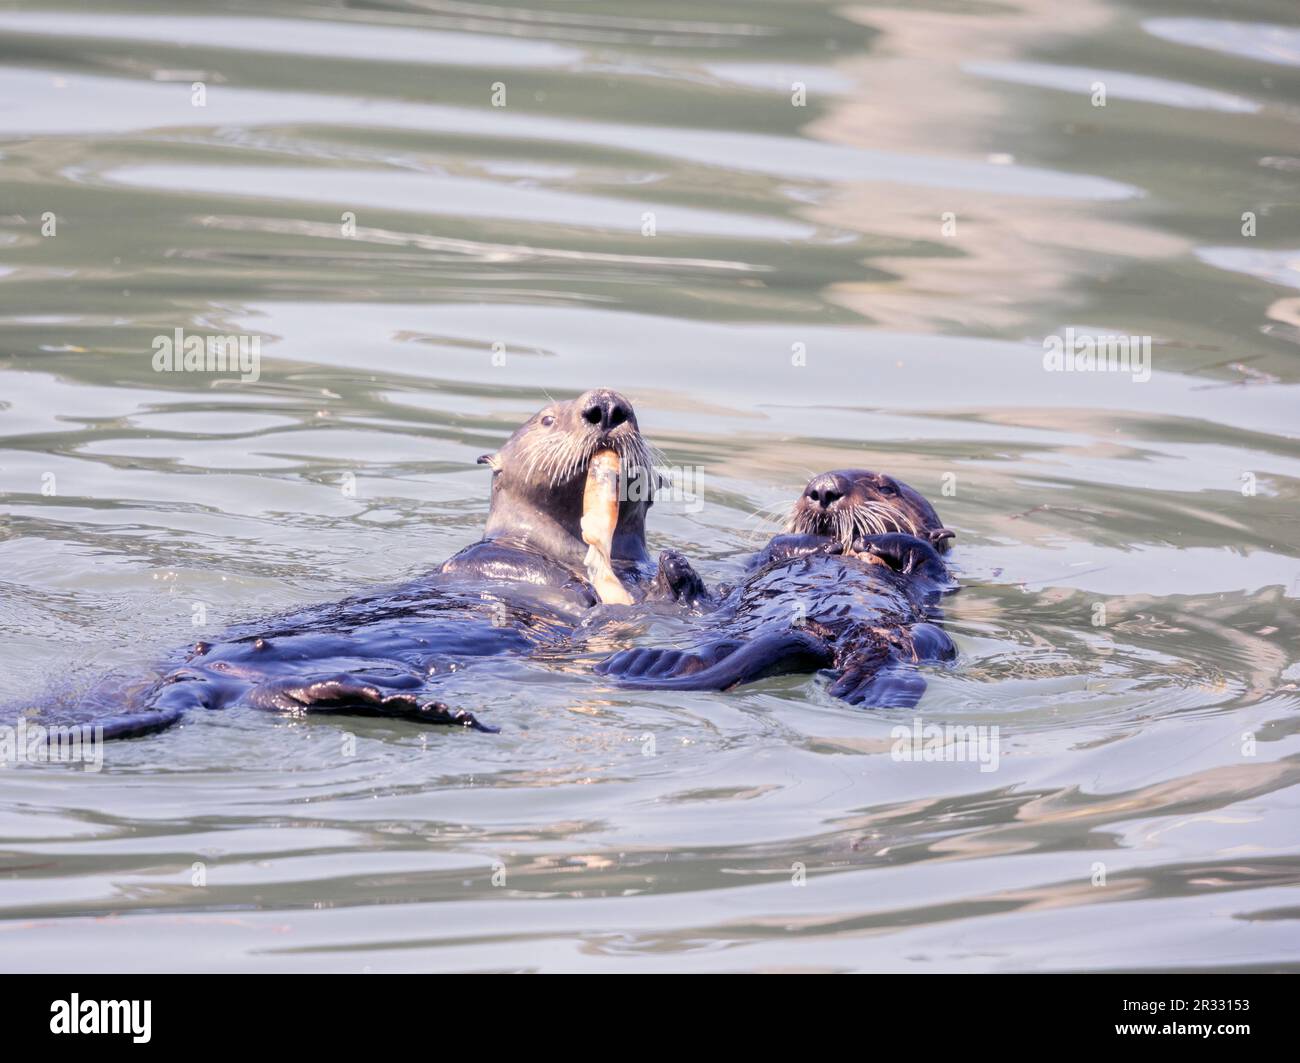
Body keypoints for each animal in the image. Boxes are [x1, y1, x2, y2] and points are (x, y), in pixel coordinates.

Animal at [29, 389, 701, 741]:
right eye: (546, 417)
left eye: (629, 409)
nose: (606, 406)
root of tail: (177, 680)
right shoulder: (506, 564)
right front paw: (665, 572)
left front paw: (675, 568)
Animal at [594, 469, 957, 708]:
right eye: (811, 486)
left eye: (887, 488)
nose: (823, 489)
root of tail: (818, 635)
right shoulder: (759, 560)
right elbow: (775, 547)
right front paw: (819, 543)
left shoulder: (936, 580)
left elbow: (925, 557)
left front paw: (871, 540)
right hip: (733, 635)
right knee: (711, 653)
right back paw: (649, 657)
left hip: (916, 638)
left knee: (910, 653)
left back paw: (877, 691)